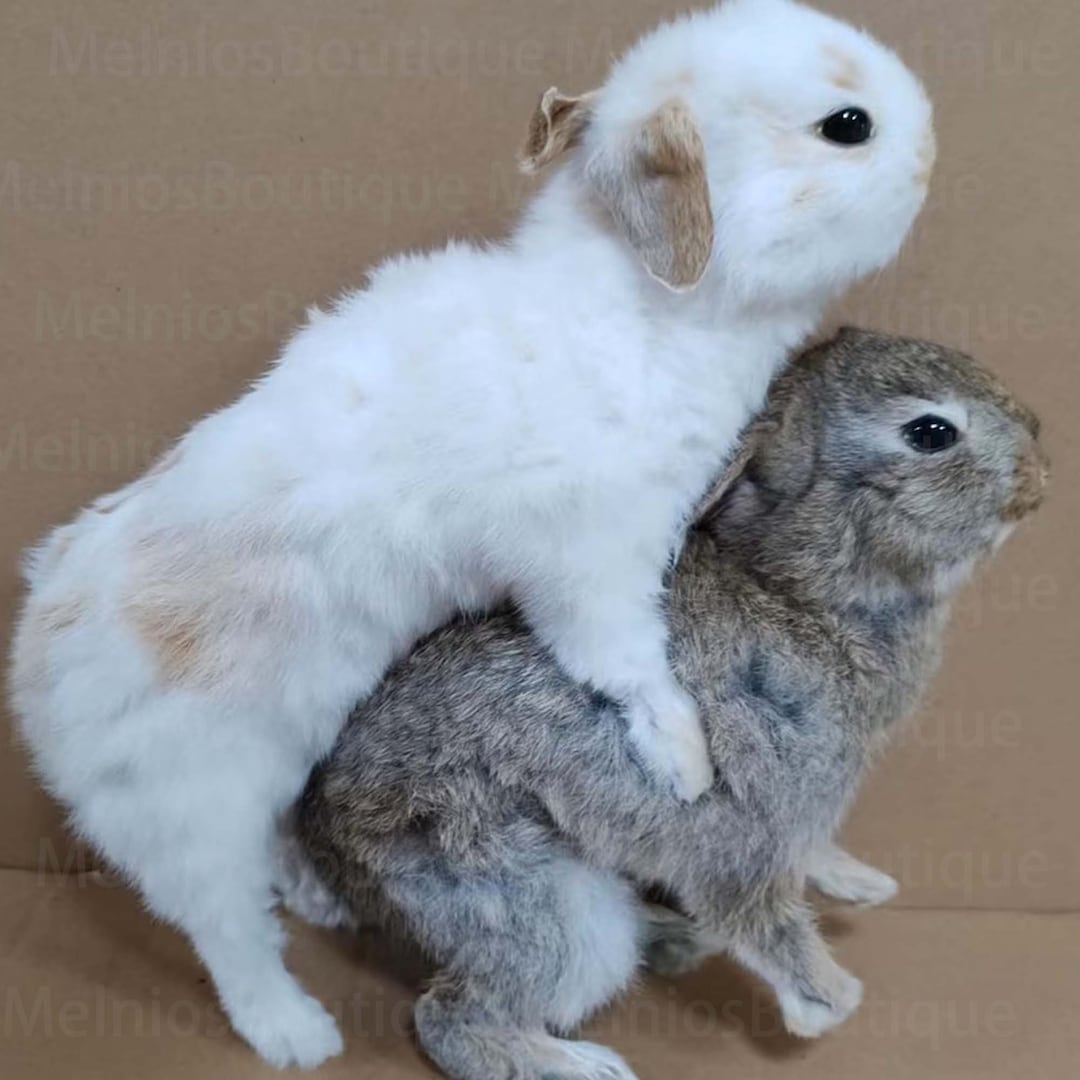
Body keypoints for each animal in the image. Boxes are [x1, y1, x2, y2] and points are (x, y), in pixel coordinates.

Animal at [8, 0, 934, 1065]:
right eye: (847, 126)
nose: (932, 150)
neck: (645, 316)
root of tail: (35, 667)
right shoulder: (593, 558)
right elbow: (626, 662)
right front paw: (686, 762)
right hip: (194, 816)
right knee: (226, 930)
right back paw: (297, 1032)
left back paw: (324, 901)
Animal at [297, 329, 1048, 1080]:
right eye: (930, 433)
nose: (1040, 474)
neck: (799, 595)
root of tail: (328, 843)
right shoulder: (751, 830)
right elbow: (765, 922)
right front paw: (828, 1003)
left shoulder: (803, 821)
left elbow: (813, 858)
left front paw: (863, 885)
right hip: (539, 902)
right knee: (452, 1016)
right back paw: (591, 1064)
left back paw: (674, 939)